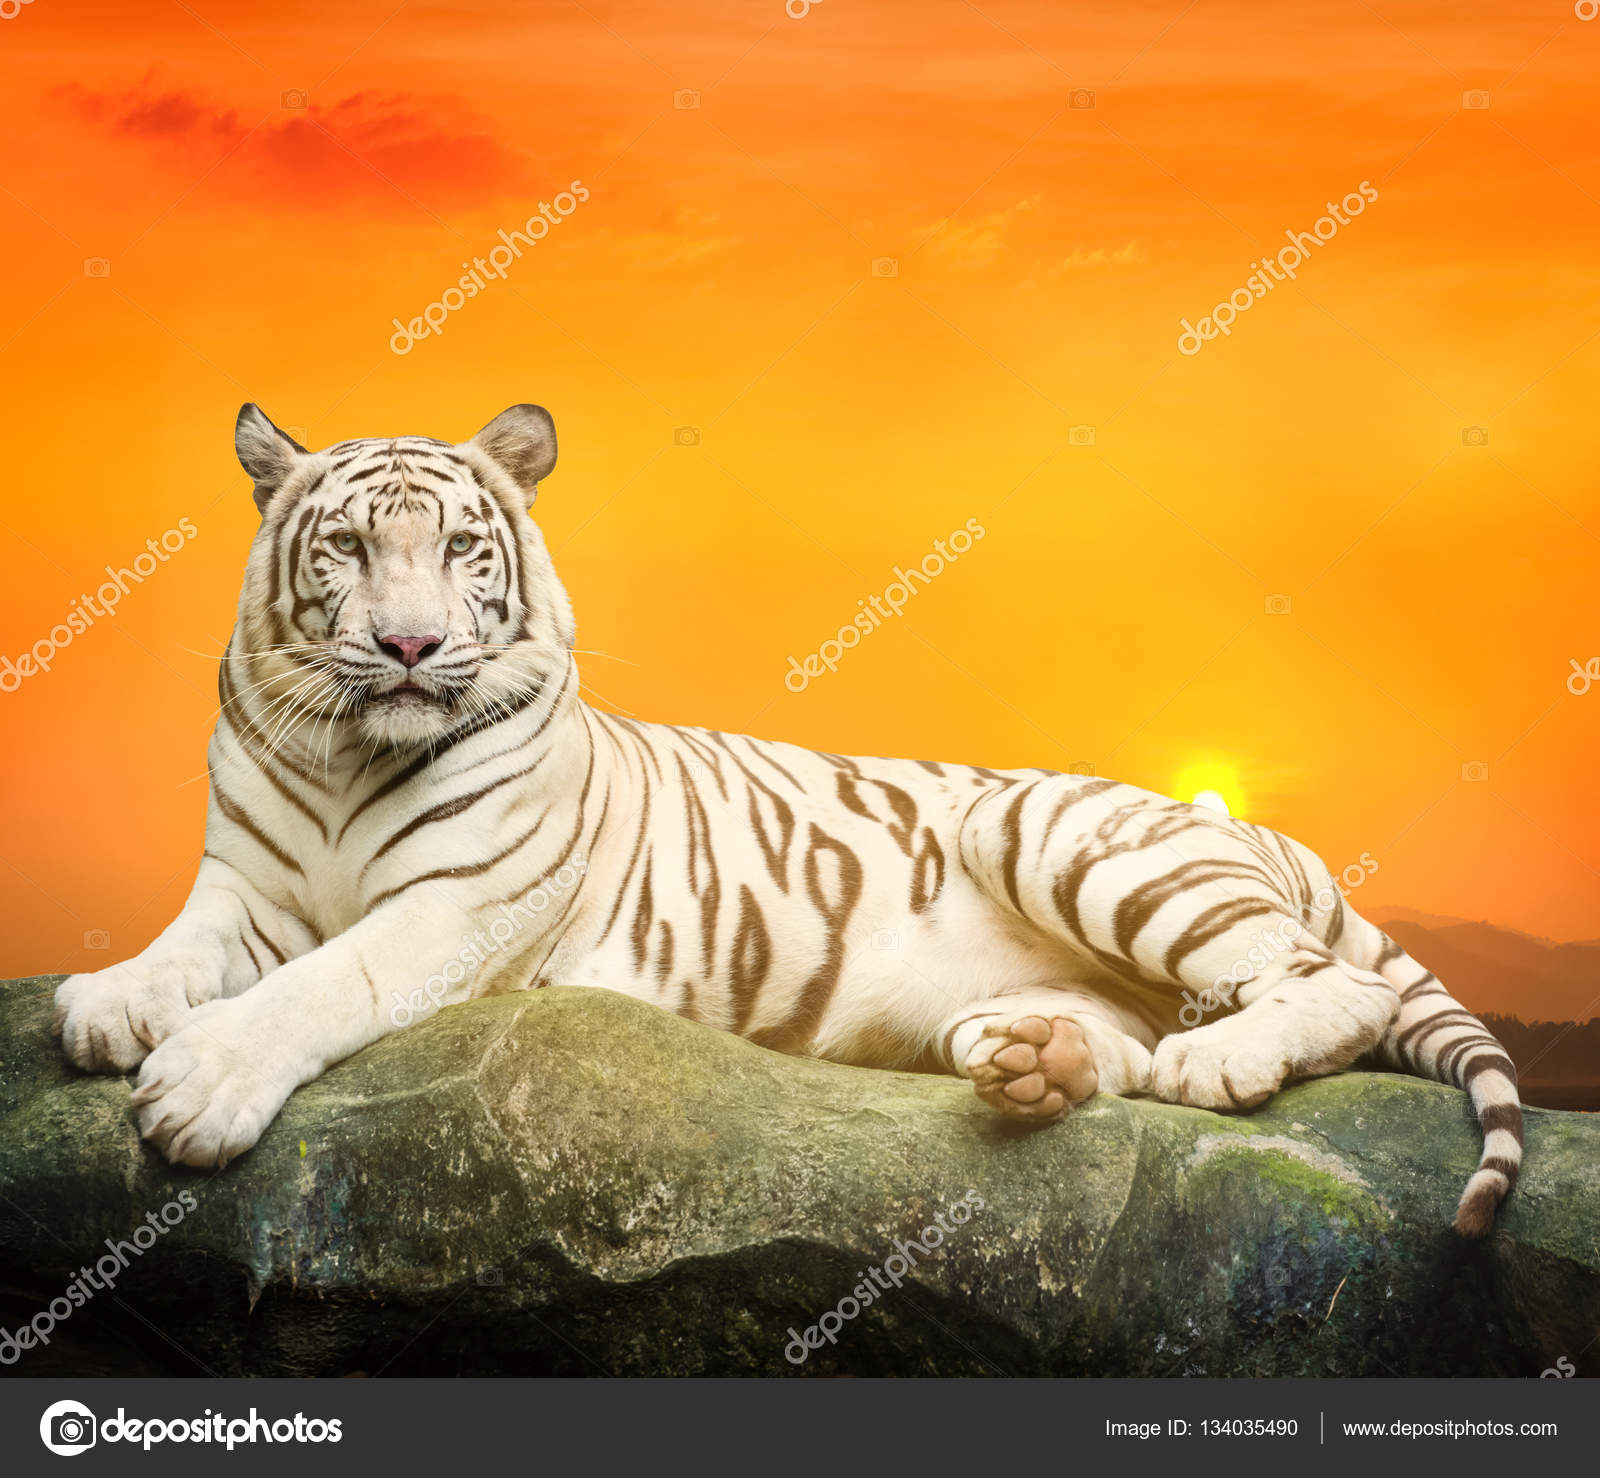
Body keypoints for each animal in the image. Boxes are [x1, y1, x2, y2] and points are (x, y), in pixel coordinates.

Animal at [53, 402, 1523, 1237]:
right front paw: (109, 1002)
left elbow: (323, 983)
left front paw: (195, 1083)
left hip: (1064, 838)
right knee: (1109, 1039)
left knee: (1329, 988)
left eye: (462, 548)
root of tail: (1274, 835)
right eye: (349, 548)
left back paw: (1218, 1065)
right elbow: (185, 949)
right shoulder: (243, 887)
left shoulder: (458, 906)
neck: (354, 750)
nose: (411, 647)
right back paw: (1042, 1062)